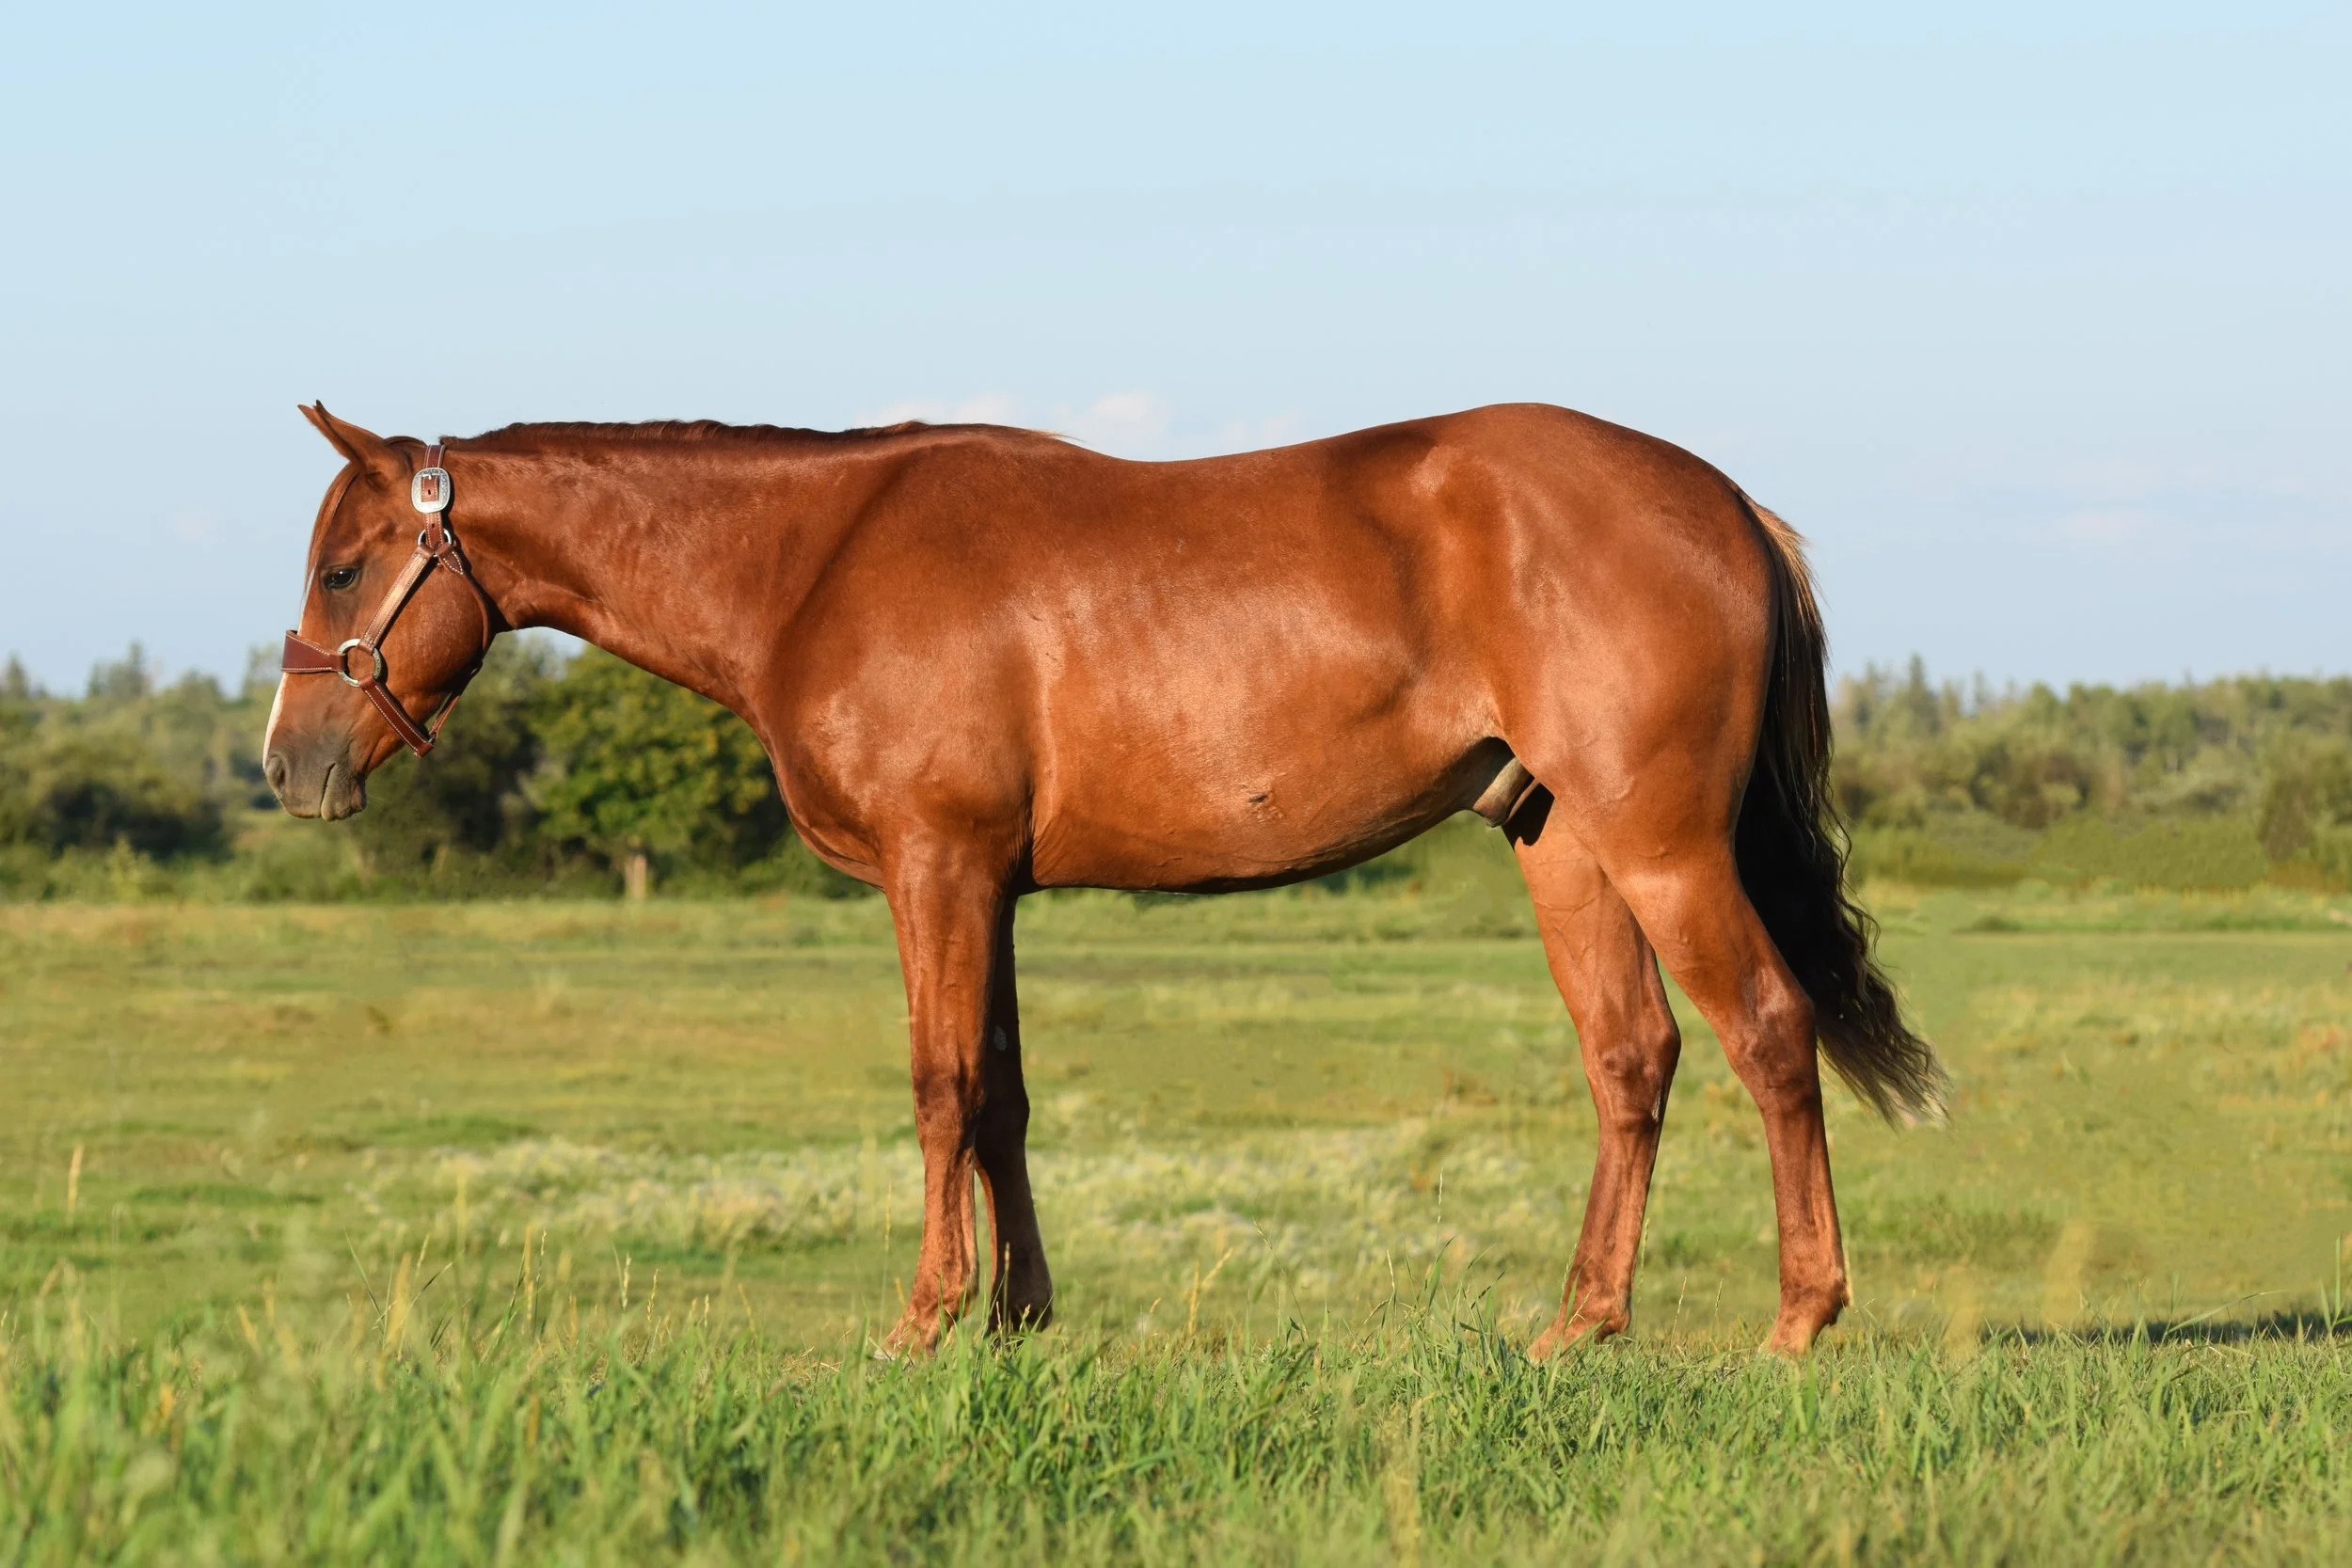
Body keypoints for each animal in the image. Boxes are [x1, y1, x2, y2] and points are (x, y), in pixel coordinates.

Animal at [264, 401, 1944, 1356]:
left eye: (344, 567)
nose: (291, 763)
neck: (813, 561)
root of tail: (1726, 502)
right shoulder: (988, 882)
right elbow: (1001, 1093)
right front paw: (1021, 1317)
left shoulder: (935, 867)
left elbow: (940, 1086)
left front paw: (926, 1321)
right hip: (1567, 846)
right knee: (1634, 1058)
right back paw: (1578, 1325)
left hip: (1663, 844)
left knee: (1768, 1032)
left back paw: (1799, 1319)